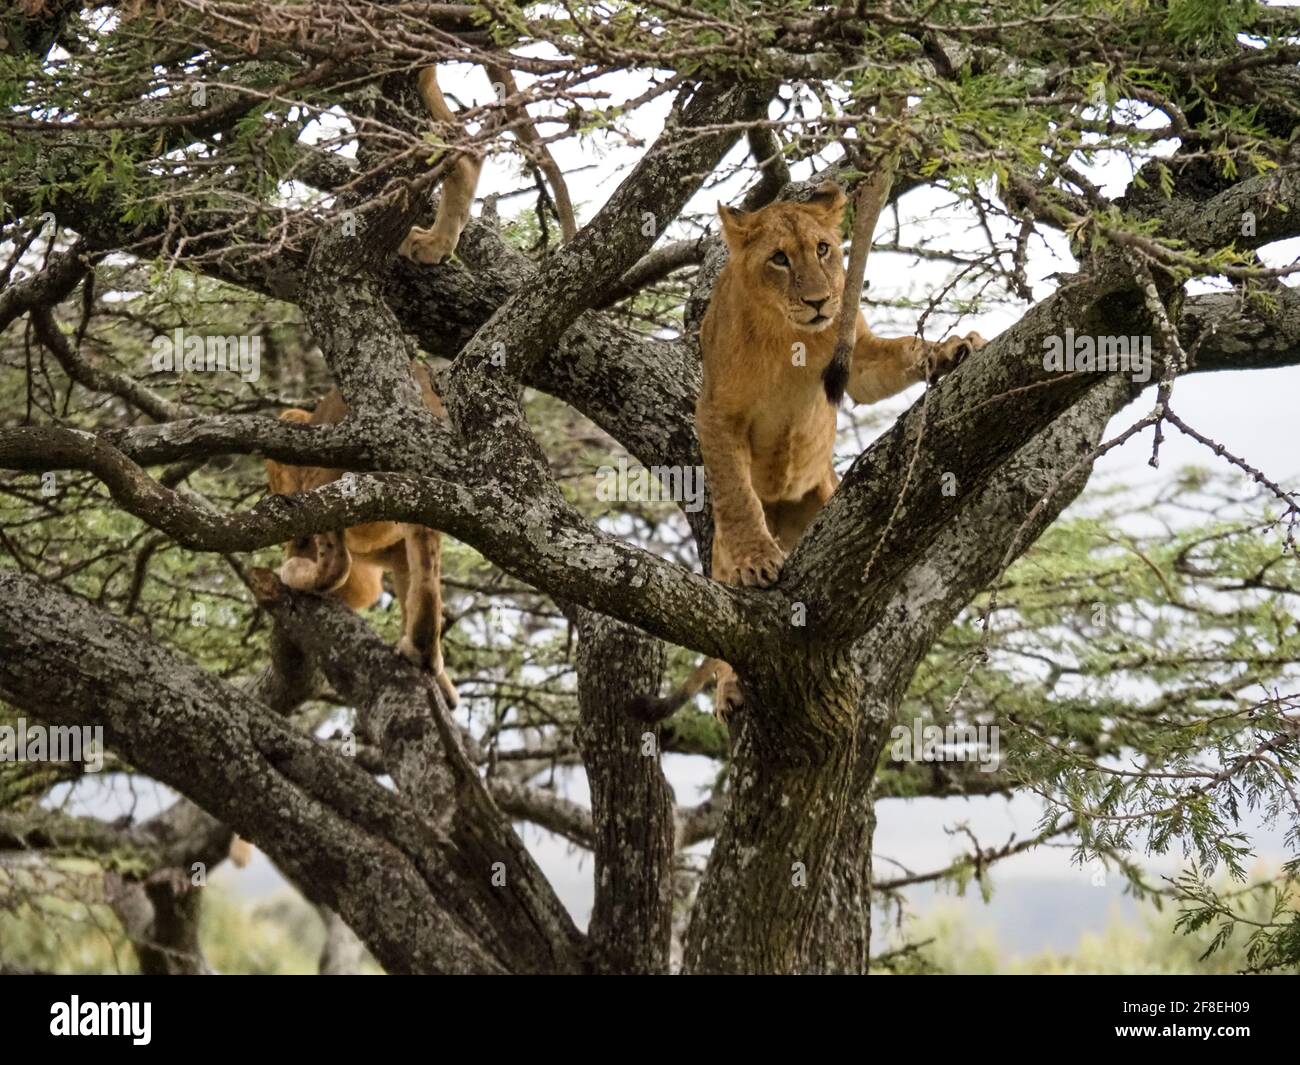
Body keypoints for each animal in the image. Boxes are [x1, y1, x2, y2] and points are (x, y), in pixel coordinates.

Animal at [642, 183, 986, 720]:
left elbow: (905, 351)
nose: (821, 301)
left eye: (824, 249)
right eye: (779, 259)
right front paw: (755, 557)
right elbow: (736, 491)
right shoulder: (716, 411)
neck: (789, 335)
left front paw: (950, 349)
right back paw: (730, 689)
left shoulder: (856, 360)